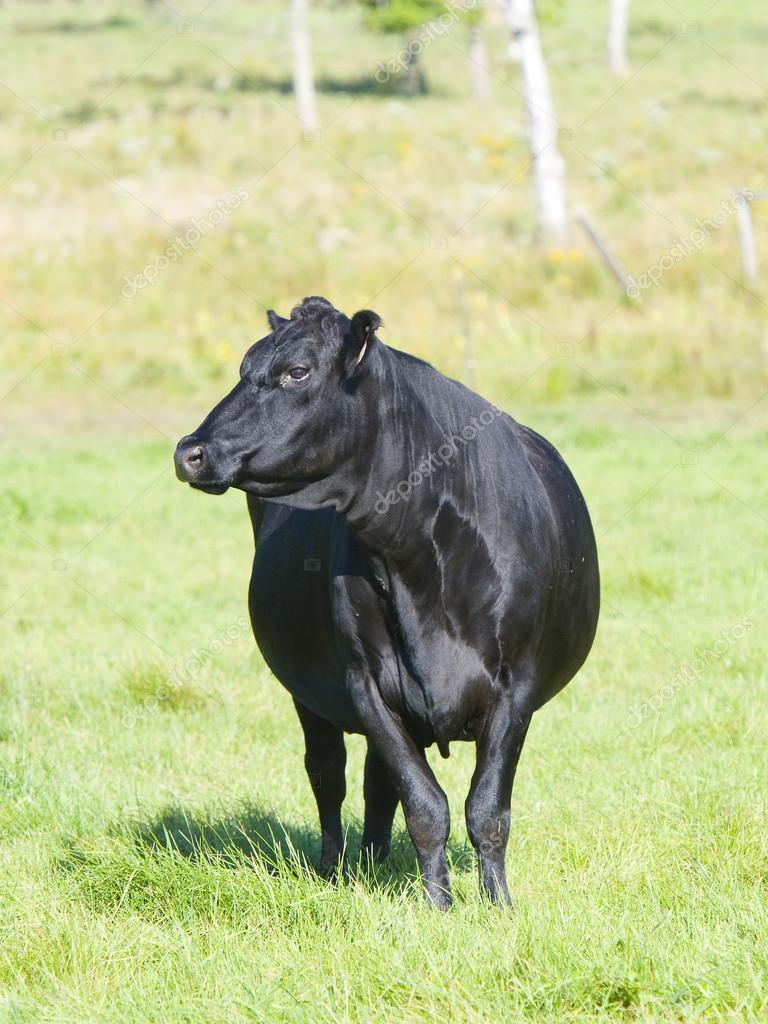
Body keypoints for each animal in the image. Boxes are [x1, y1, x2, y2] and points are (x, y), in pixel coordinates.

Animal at [174, 296, 599, 908]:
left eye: (297, 371)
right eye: (243, 367)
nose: (189, 451)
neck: (418, 564)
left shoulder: (517, 686)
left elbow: (486, 810)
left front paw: (498, 905)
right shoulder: (366, 683)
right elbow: (425, 806)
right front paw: (440, 906)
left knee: (376, 787)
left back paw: (374, 865)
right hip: (310, 691)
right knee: (330, 775)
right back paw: (336, 869)